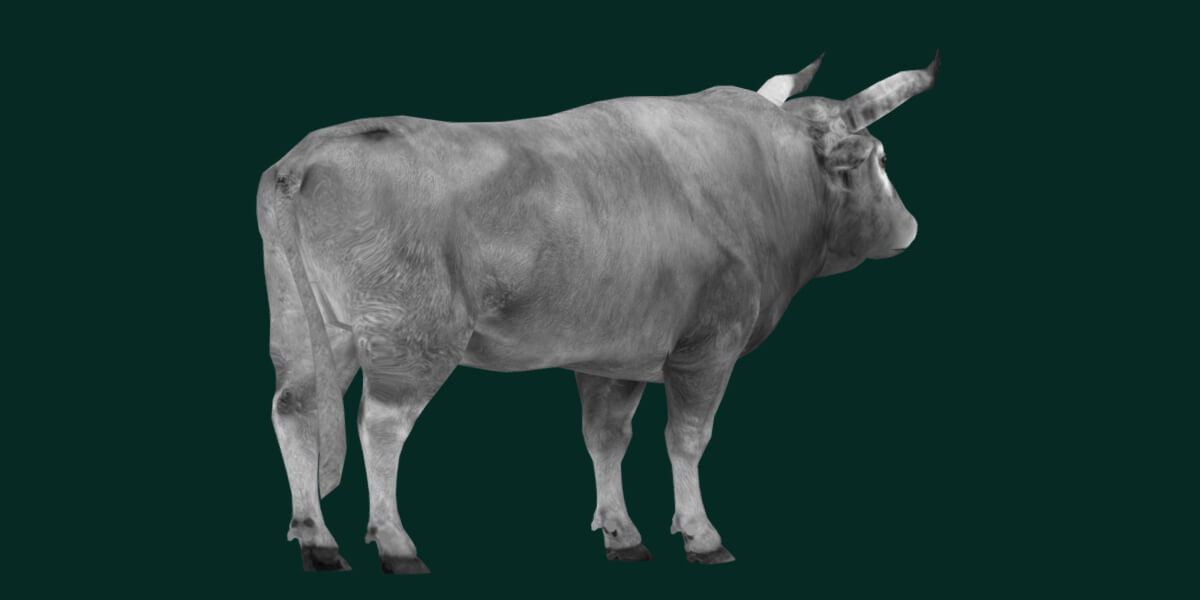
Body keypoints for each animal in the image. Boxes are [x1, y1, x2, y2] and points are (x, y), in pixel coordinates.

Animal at [257, 52, 939, 573]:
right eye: (880, 159)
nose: (910, 227)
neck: (764, 175)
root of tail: (306, 156)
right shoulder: (708, 346)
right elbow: (687, 438)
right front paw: (701, 534)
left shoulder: (616, 356)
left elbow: (607, 437)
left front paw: (622, 533)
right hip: (412, 336)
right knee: (380, 424)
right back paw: (396, 545)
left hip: (312, 327)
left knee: (295, 408)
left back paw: (317, 540)